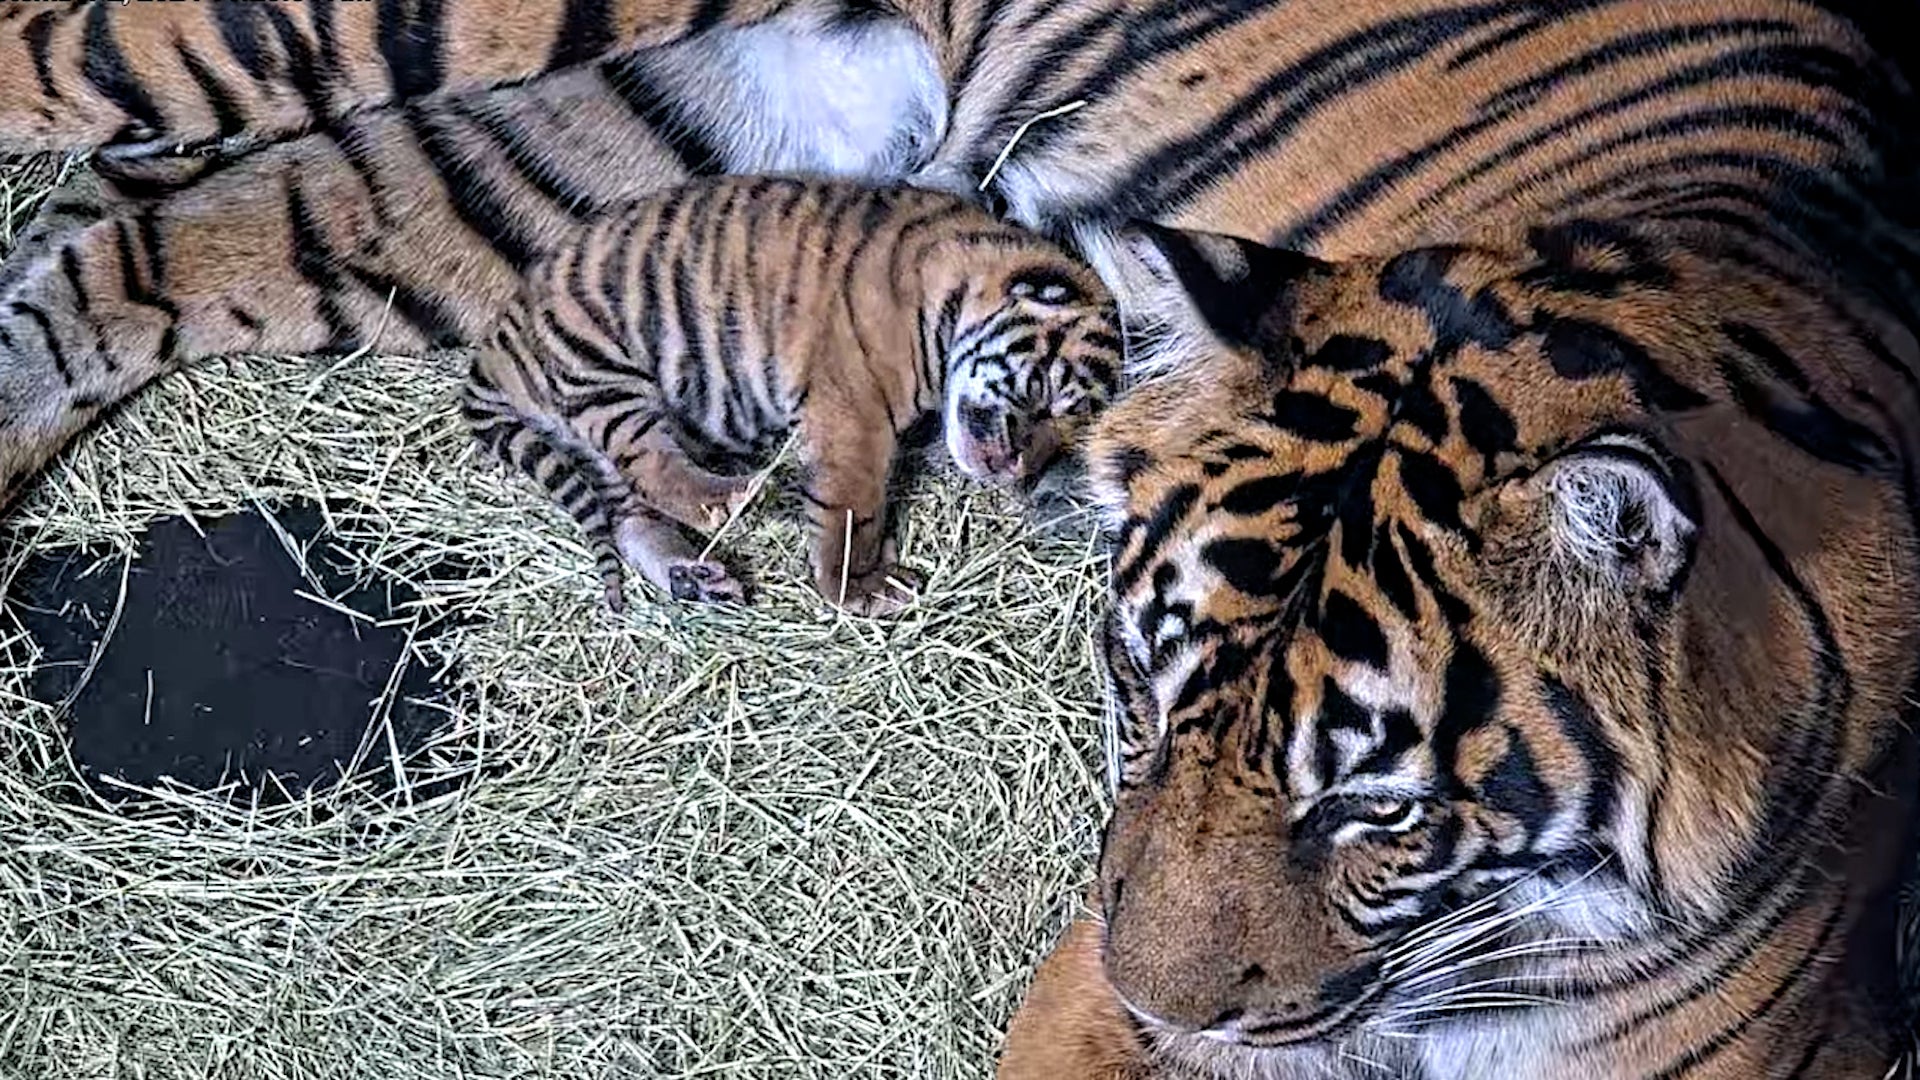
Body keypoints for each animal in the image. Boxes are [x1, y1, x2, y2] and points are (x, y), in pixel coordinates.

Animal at [460, 175, 1121, 616]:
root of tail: (493, 345)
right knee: (650, 466)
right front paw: (857, 589)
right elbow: (850, 506)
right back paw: (734, 499)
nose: (1014, 469)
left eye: (1065, 438)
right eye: (1044, 397)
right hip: (603, 370)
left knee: (630, 514)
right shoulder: (852, 409)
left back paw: (695, 577)